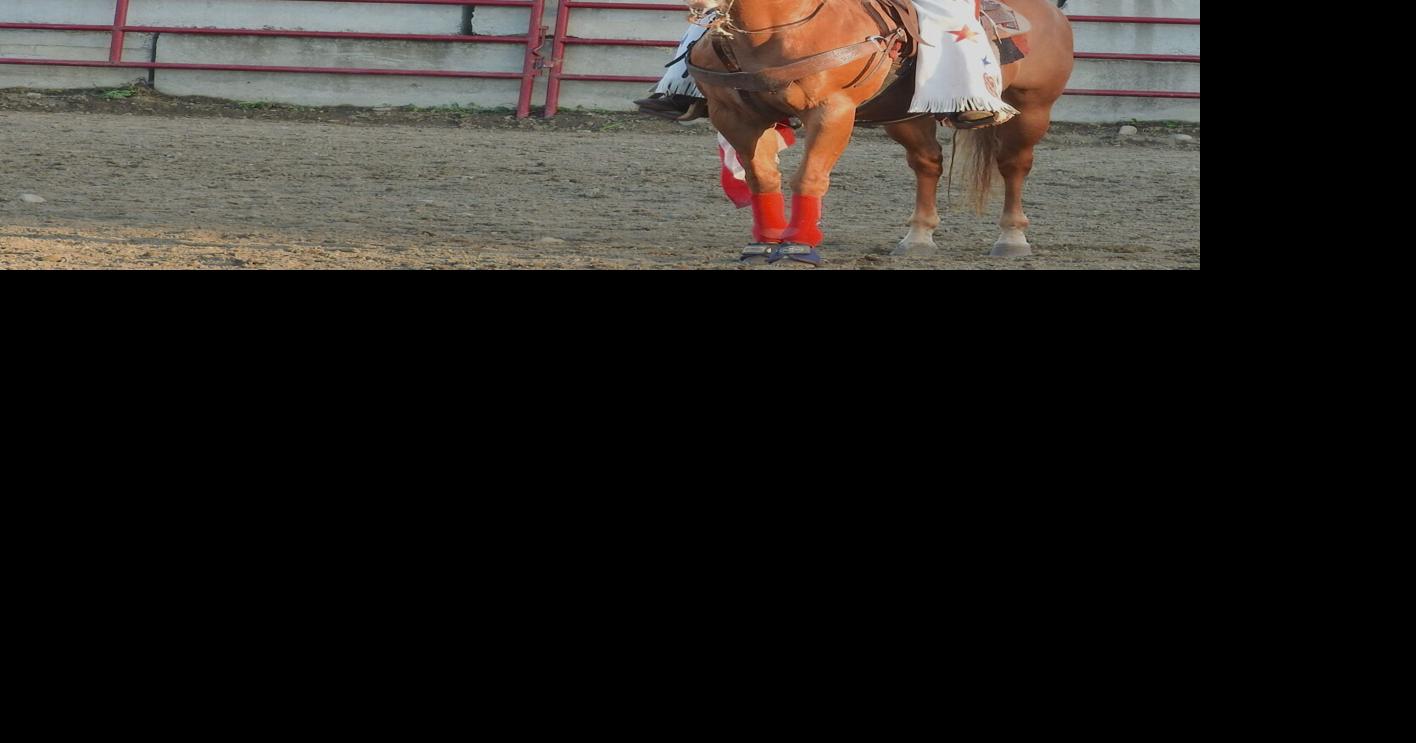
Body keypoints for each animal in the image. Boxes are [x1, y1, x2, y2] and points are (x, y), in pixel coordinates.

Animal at [685, 0, 1075, 265]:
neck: (774, 30)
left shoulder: (832, 111)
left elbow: (809, 176)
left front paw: (798, 245)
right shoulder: (735, 117)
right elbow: (762, 178)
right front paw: (764, 241)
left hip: (1033, 108)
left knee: (1013, 166)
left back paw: (1012, 238)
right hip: (906, 118)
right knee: (928, 164)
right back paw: (918, 237)